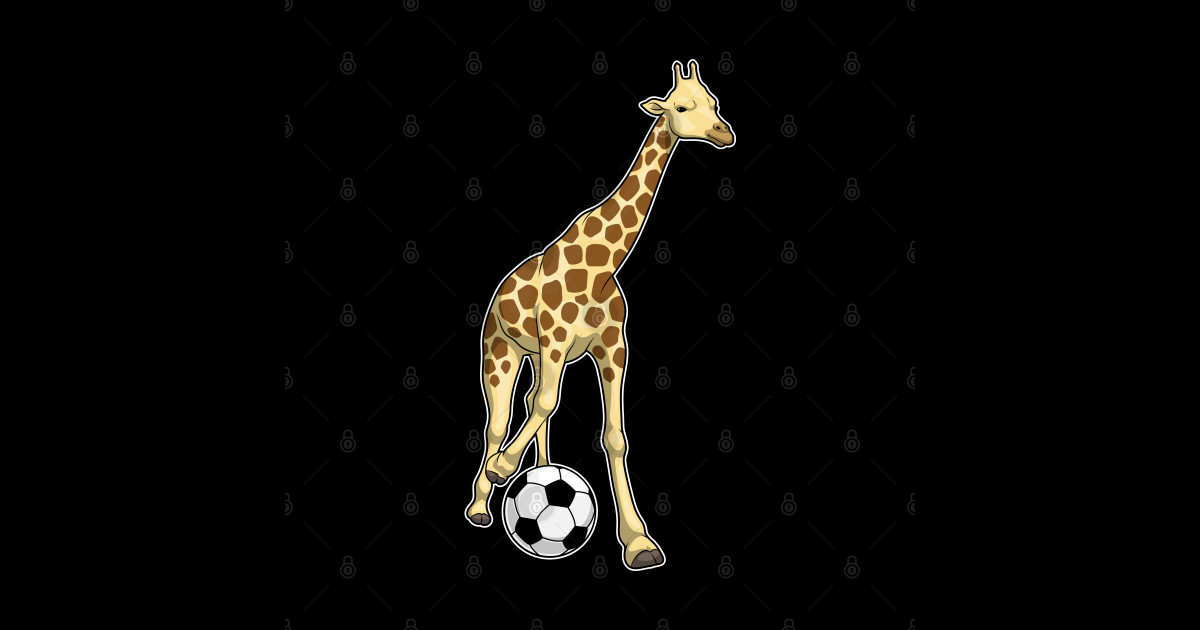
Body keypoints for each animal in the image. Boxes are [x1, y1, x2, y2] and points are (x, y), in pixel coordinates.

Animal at [464, 59, 735, 571]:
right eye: (681, 107)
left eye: (714, 102)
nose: (723, 133)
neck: (605, 266)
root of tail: (496, 295)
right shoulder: (554, 338)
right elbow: (543, 406)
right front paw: (503, 468)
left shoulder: (612, 346)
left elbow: (613, 436)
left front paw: (638, 542)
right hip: (501, 350)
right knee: (503, 416)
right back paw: (482, 504)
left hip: (542, 356)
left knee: (531, 402)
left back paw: (539, 474)